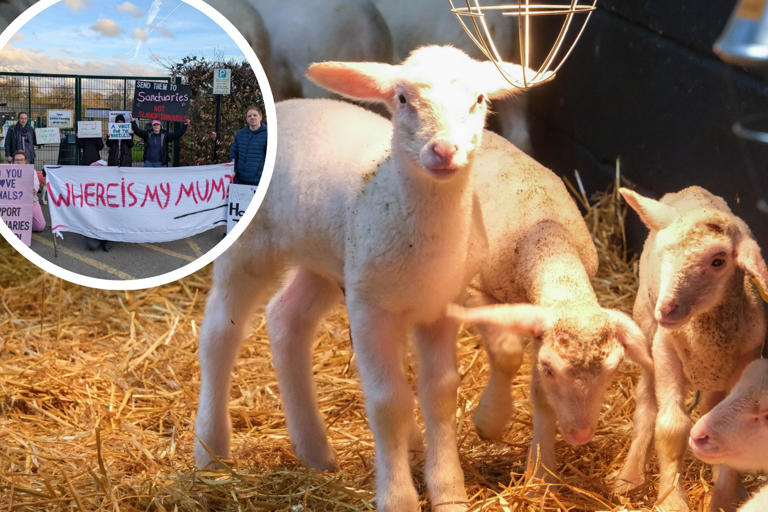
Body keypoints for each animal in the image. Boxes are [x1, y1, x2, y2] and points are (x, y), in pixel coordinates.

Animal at [194, 46, 523, 512]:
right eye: (402, 98)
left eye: (479, 99)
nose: (444, 150)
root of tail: (282, 108)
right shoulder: (369, 308)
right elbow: (389, 403)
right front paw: (399, 497)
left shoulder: (441, 306)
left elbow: (440, 393)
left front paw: (449, 492)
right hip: (250, 247)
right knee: (220, 333)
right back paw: (210, 450)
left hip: (325, 259)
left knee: (286, 319)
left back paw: (314, 450)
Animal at [443, 132, 652, 480]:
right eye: (550, 368)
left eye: (613, 370)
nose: (580, 435)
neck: (548, 242)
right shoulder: (476, 291)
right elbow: (507, 353)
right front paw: (490, 421)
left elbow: (541, 397)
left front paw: (541, 473)